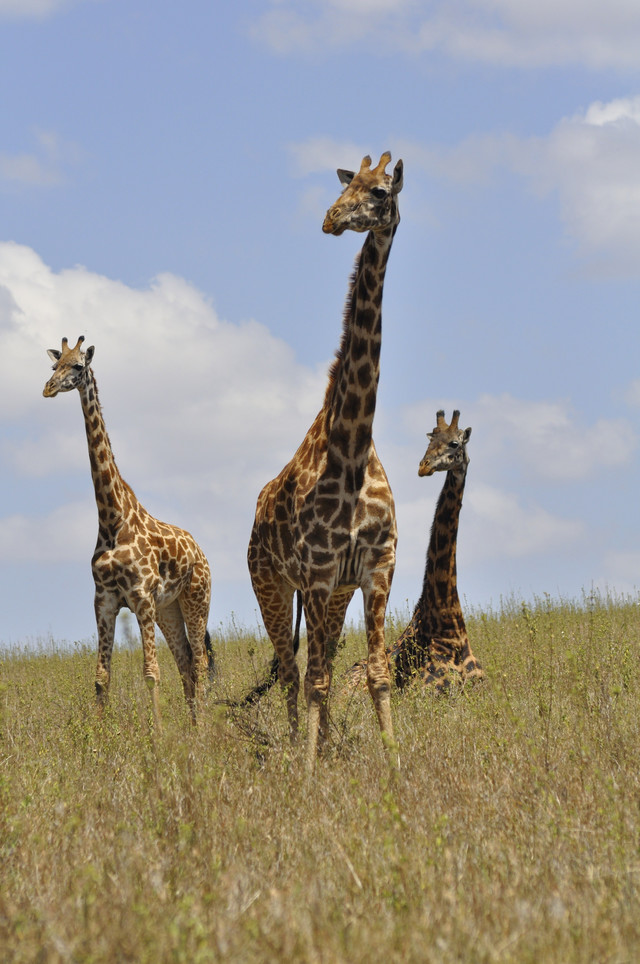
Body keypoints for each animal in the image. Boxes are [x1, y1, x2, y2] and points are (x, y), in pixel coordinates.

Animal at [43, 336, 213, 727]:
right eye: (54, 366)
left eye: (78, 366)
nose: (47, 388)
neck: (111, 518)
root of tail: (200, 552)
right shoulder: (104, 599)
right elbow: (101, 677)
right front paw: (98, 736)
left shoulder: (140, 597)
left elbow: (151, 672)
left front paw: (158, 735)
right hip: (169, 608)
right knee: (186, 664)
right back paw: (193, 729)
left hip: (196, 599)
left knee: (200, 662)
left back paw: (205, 729)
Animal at [246, 151, 403, 770]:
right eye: (346, 185)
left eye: (380, 191)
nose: (331, 219)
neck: (353, 449)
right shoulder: (313, 574)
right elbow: (311, 677)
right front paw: (311, 770)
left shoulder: (376, 568)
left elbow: (377, 673)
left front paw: (394, 762)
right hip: (271, 586)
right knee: (294, 672)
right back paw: (298, 745)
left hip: (334, 594)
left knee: (324, 667)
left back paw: (328, 741)